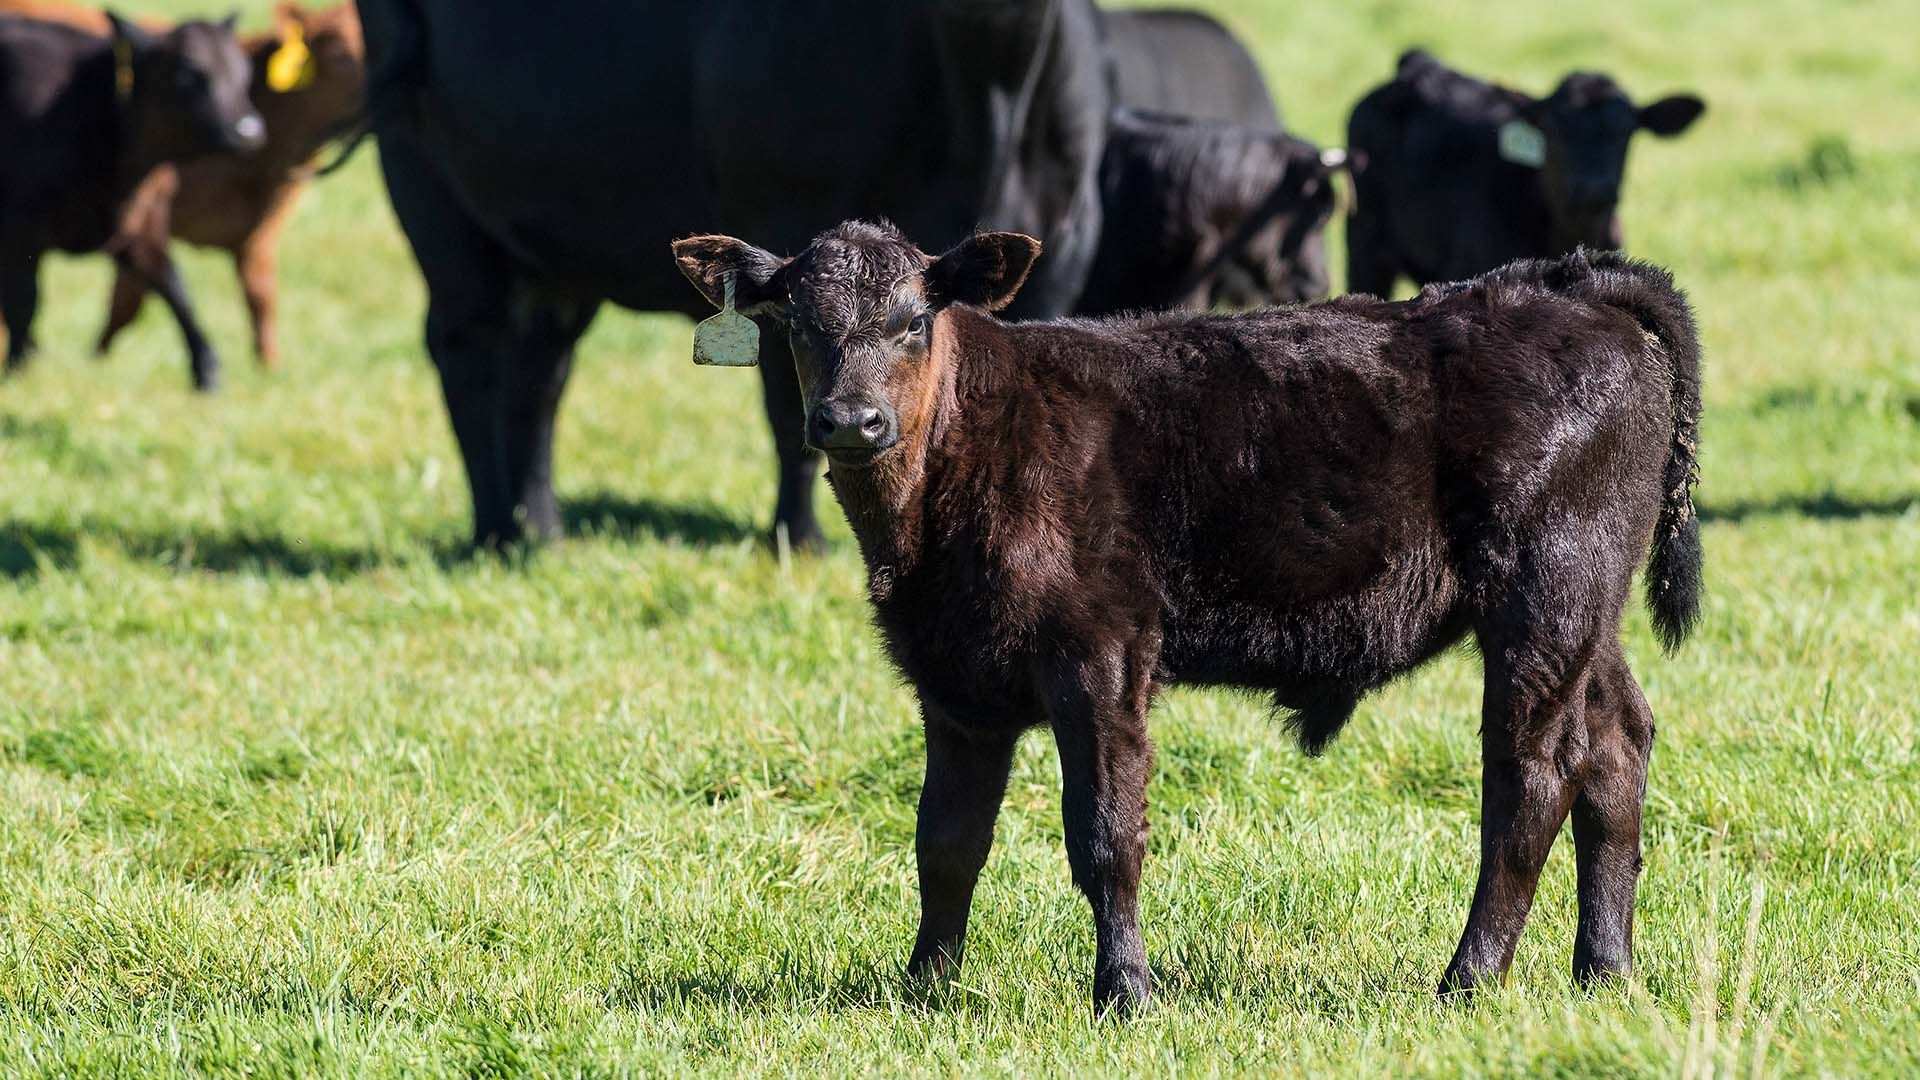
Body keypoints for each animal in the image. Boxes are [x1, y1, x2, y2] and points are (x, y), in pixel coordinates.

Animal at [0, 11, 264, 389]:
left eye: (244, 71)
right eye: (187, 74)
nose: (249, 131)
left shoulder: (139, 222)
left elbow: (174, 285)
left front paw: (207, 370)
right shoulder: (18, 231)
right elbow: (24, 302)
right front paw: (18, 369)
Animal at [355, 0, 1110, 549]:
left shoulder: (1063, 250)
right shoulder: (776, 233)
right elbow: (788, 415)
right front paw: (800, 541)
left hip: (553, 259)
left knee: (539, 374)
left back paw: (539, 529)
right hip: (433, 198)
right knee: (469, 356)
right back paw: (495, 531)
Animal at [674, 220, 1704, 1013]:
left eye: (913, 320)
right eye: (798, 325)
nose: (851, 422)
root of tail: (1568, 283)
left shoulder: (1100, 652)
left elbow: (1105, 836)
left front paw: (1124, 992)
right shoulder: (953, 679)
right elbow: (947, 840)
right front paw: (925, 988)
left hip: (1545, 592)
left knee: (1531, 777)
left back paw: (1469, 980)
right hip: (1588, 615)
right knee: (1617, 748)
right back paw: (1604, 973)